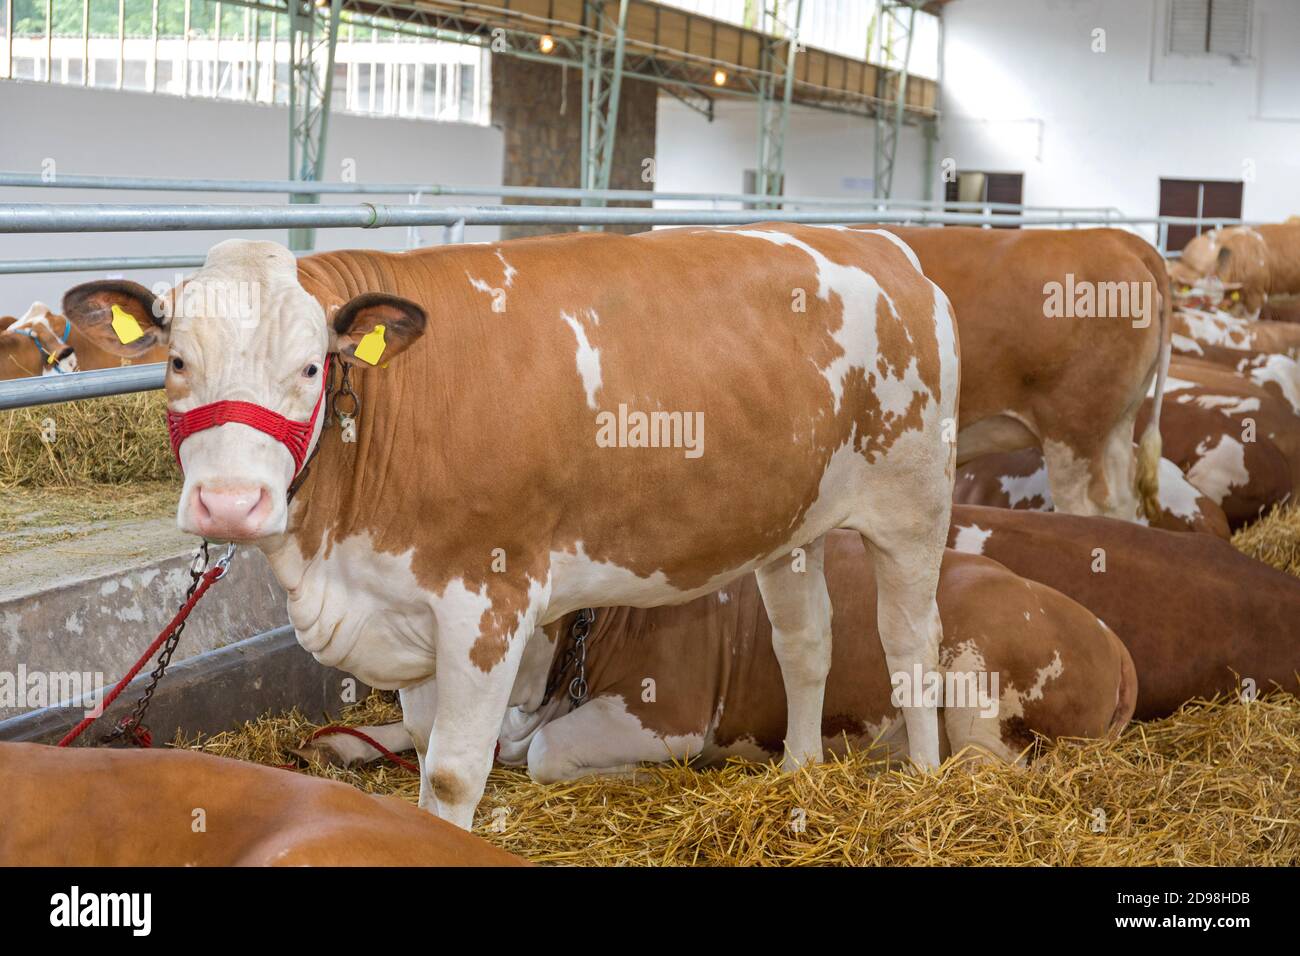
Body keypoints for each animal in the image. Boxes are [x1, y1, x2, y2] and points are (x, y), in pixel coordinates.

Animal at [61, 227, 960, 829]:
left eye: (312, 367)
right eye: (178, 362)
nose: (229, 503)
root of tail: (882, 244)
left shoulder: (486, 599)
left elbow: (457, 774)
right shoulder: (403, 605)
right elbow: (425, 752)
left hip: (914, 503)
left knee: (910, 643)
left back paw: (923, 781)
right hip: (792, 527)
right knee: (804, 641)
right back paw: (800, 773)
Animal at [299, 531, 1136, 780]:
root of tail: (1107, 635)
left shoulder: (665, 712)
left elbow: (542, 752)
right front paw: (347, 743)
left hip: (974, 666)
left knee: (991, 764)